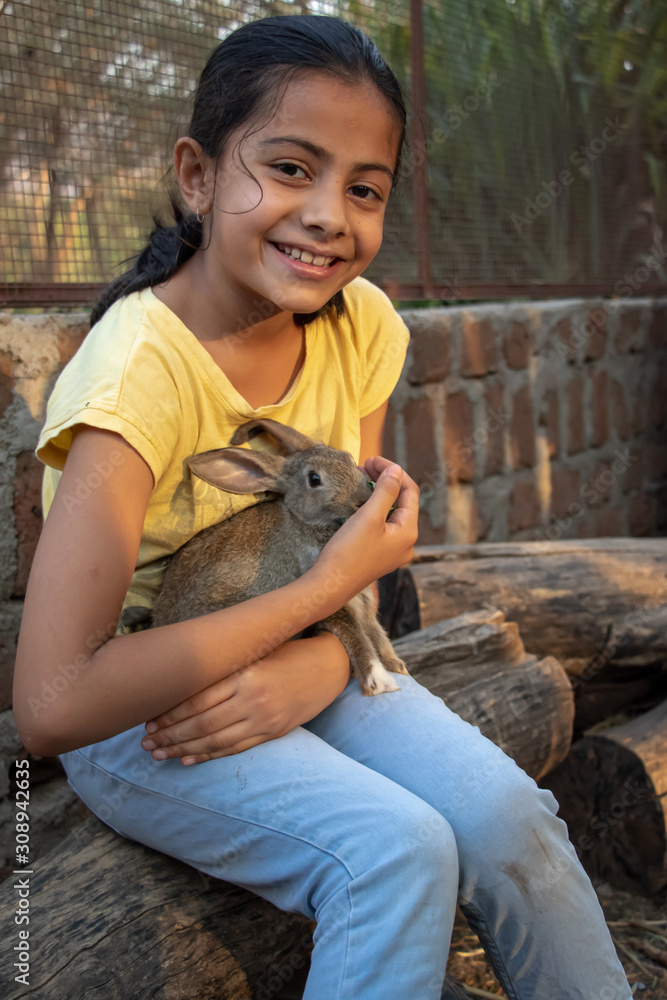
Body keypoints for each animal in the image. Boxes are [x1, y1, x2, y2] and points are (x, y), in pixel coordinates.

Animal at [151, 418, 409, 696]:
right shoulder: (326, 598)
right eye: (314, 479)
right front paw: (381, 682)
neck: (305, 522)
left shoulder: (363, 598)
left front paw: (396, 665)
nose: (363, 499)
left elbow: (375, 630)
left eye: (348, 458)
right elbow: (354, 633)